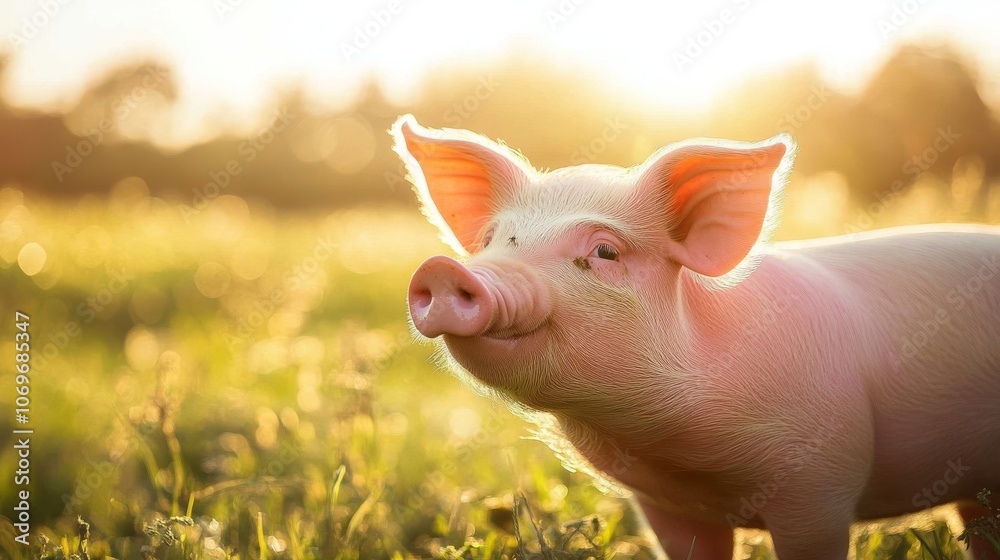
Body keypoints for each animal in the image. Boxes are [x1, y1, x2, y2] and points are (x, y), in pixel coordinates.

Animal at [391, 114, 1000, 560]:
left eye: (604, 251)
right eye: (493, 240)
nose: (443, 269)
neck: (681, 455)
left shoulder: (822, 476)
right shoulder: (665, 505)